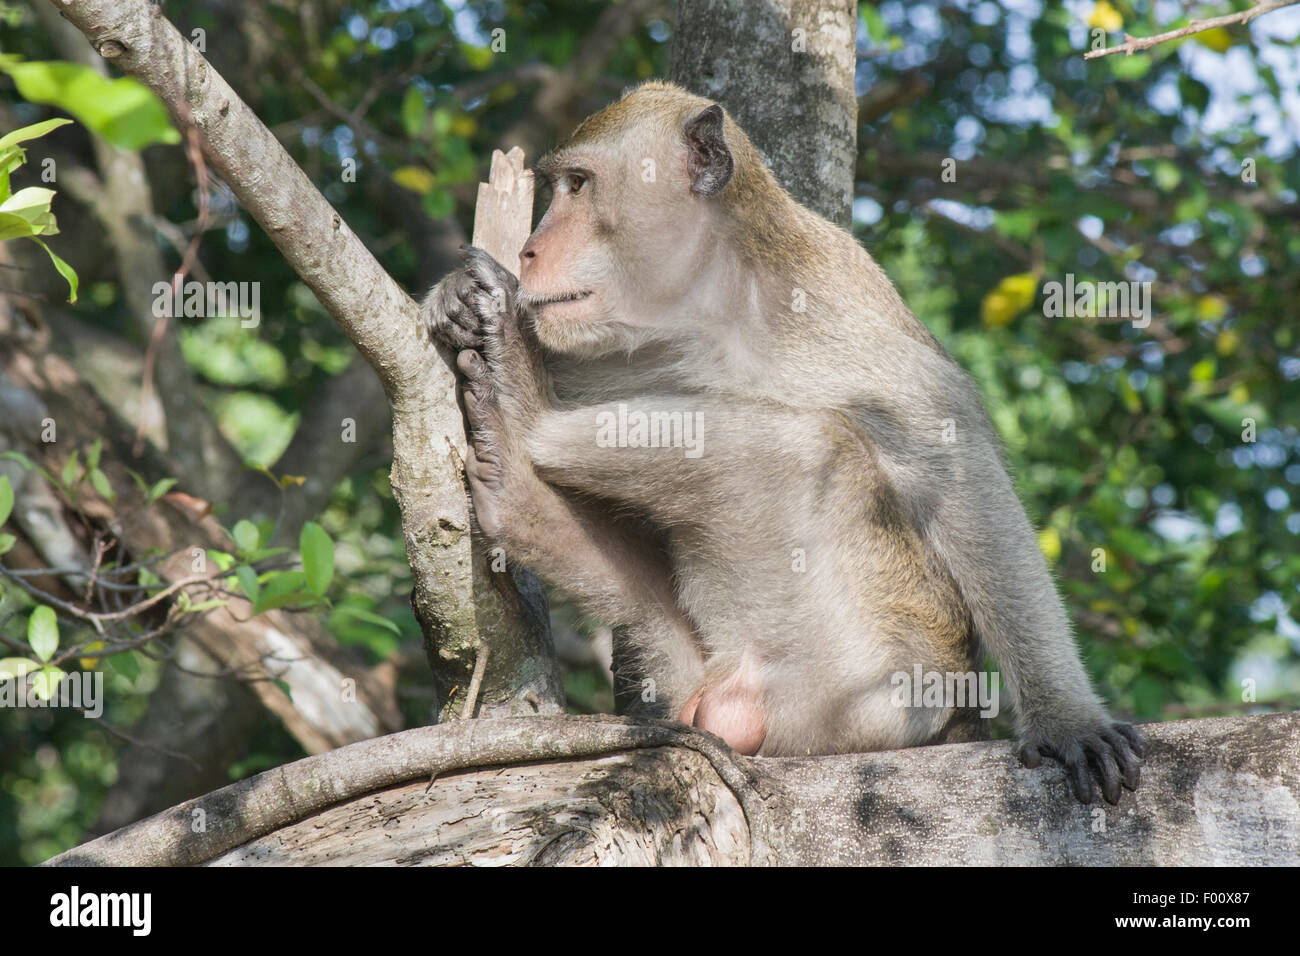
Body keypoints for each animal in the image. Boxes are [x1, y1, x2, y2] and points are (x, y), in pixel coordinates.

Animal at [423, 81, 1146, 804]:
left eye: (578, 185)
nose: (529, 251)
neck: (716, 310)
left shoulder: (838, 324)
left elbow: (960, 474)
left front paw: (1065, 718)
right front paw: (454, 298)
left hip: (862, 688)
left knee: (811, 444)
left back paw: (528, 417)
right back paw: (520, 495)